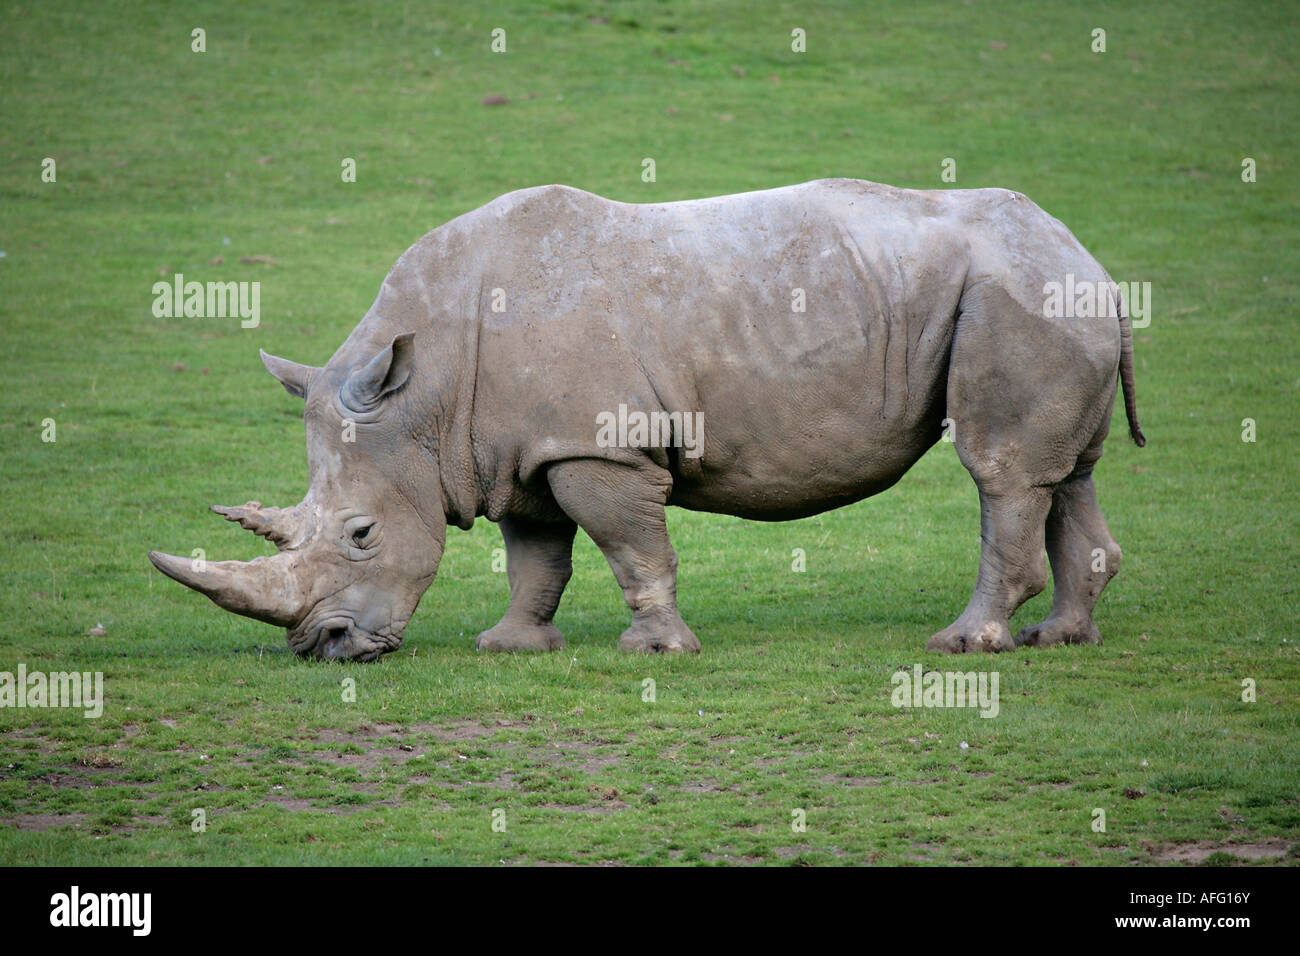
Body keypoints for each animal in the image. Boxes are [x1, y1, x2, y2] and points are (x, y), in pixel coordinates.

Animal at [149, 179, 1145, 661]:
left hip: (1015, 296)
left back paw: (964, 644)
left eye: (360, 535)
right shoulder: (519, 447)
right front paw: (511, 647)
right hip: (1046, 295)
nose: (322, 647)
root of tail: (1089, 256)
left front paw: (655, 650)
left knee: (1000, 469)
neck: (423, 390)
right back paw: (1061, 639)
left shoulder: (597, 446)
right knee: (1068, 473)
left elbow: (629, 546)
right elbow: (537, 553)